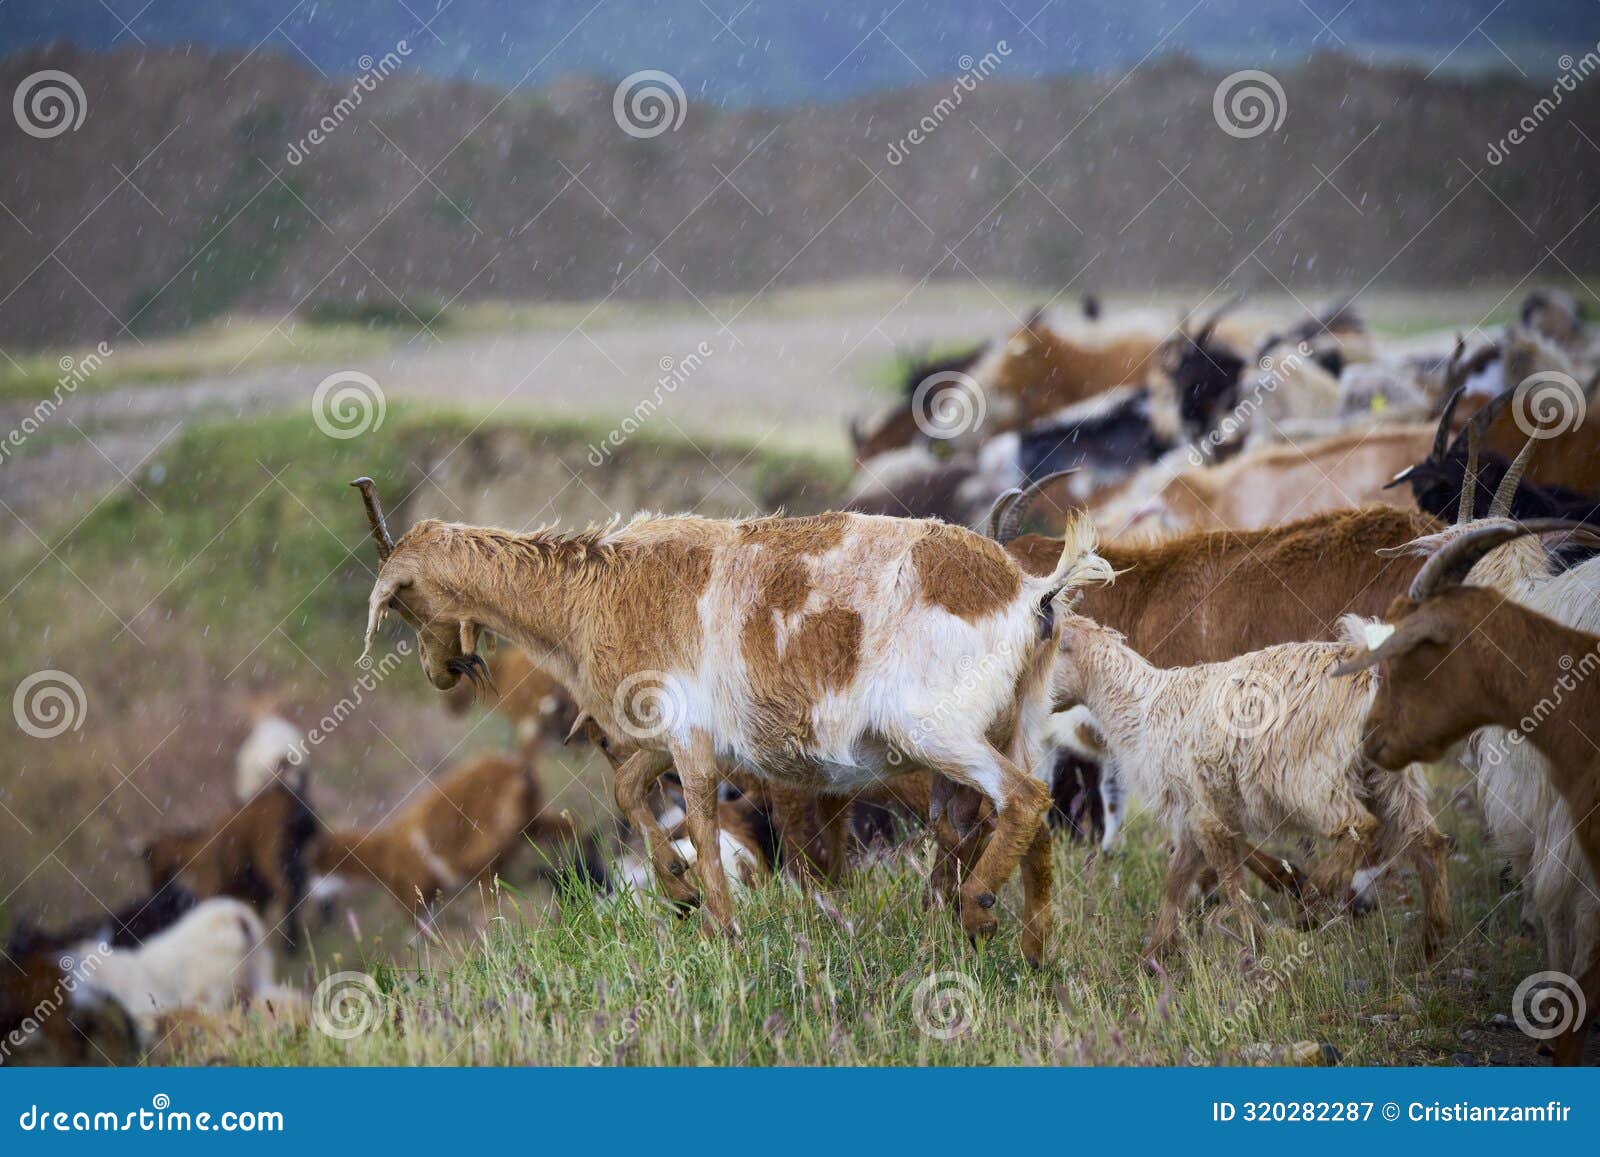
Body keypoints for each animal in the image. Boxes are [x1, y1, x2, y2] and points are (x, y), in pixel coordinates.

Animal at [142, 774, 318, 951]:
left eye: (149, 860)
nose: (153, 890)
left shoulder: (209, 888)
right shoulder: (249, 894)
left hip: (270, 858)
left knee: (287, 892)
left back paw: (290, 945)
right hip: (293, 859)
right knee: (297, 890)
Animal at [349, 477, 1112, 963]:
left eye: (407, 600)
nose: (440, 670)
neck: (594, 589)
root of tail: (1034, 593)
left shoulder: (687, 738)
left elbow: (703, 826)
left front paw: (722, 932)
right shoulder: (683, 738)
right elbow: (629, 787)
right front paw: (678, 888)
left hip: (938, 732)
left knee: (1022, 798)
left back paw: (979, 908)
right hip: (1022, 720)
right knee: (1039, 825)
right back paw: (1034, 952)